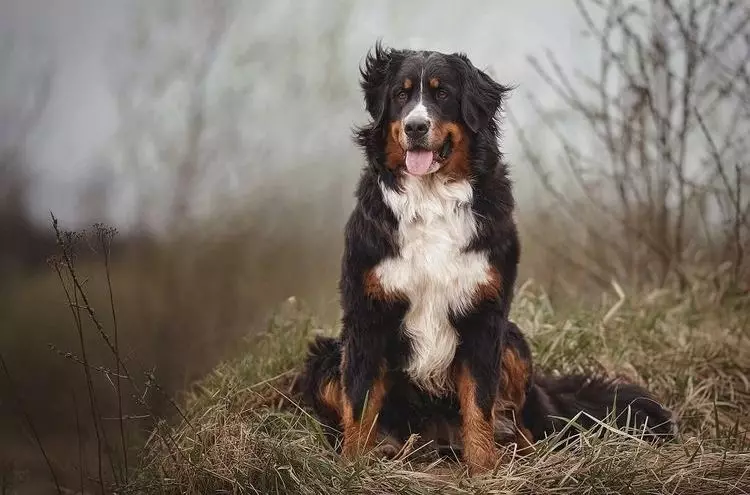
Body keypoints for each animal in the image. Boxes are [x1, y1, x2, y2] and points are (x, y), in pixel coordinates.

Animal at [296, 44, 680, 474]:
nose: (415, 126)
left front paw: (483, 470)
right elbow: (359, 402)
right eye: (400, 94)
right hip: (327, 357)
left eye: (442, 93)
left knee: (525, 423)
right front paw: (352, 467)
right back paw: (389, 449)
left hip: (513, 342)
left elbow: (479, 402)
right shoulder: (367, 316)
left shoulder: (484, 315)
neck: (431, 200)